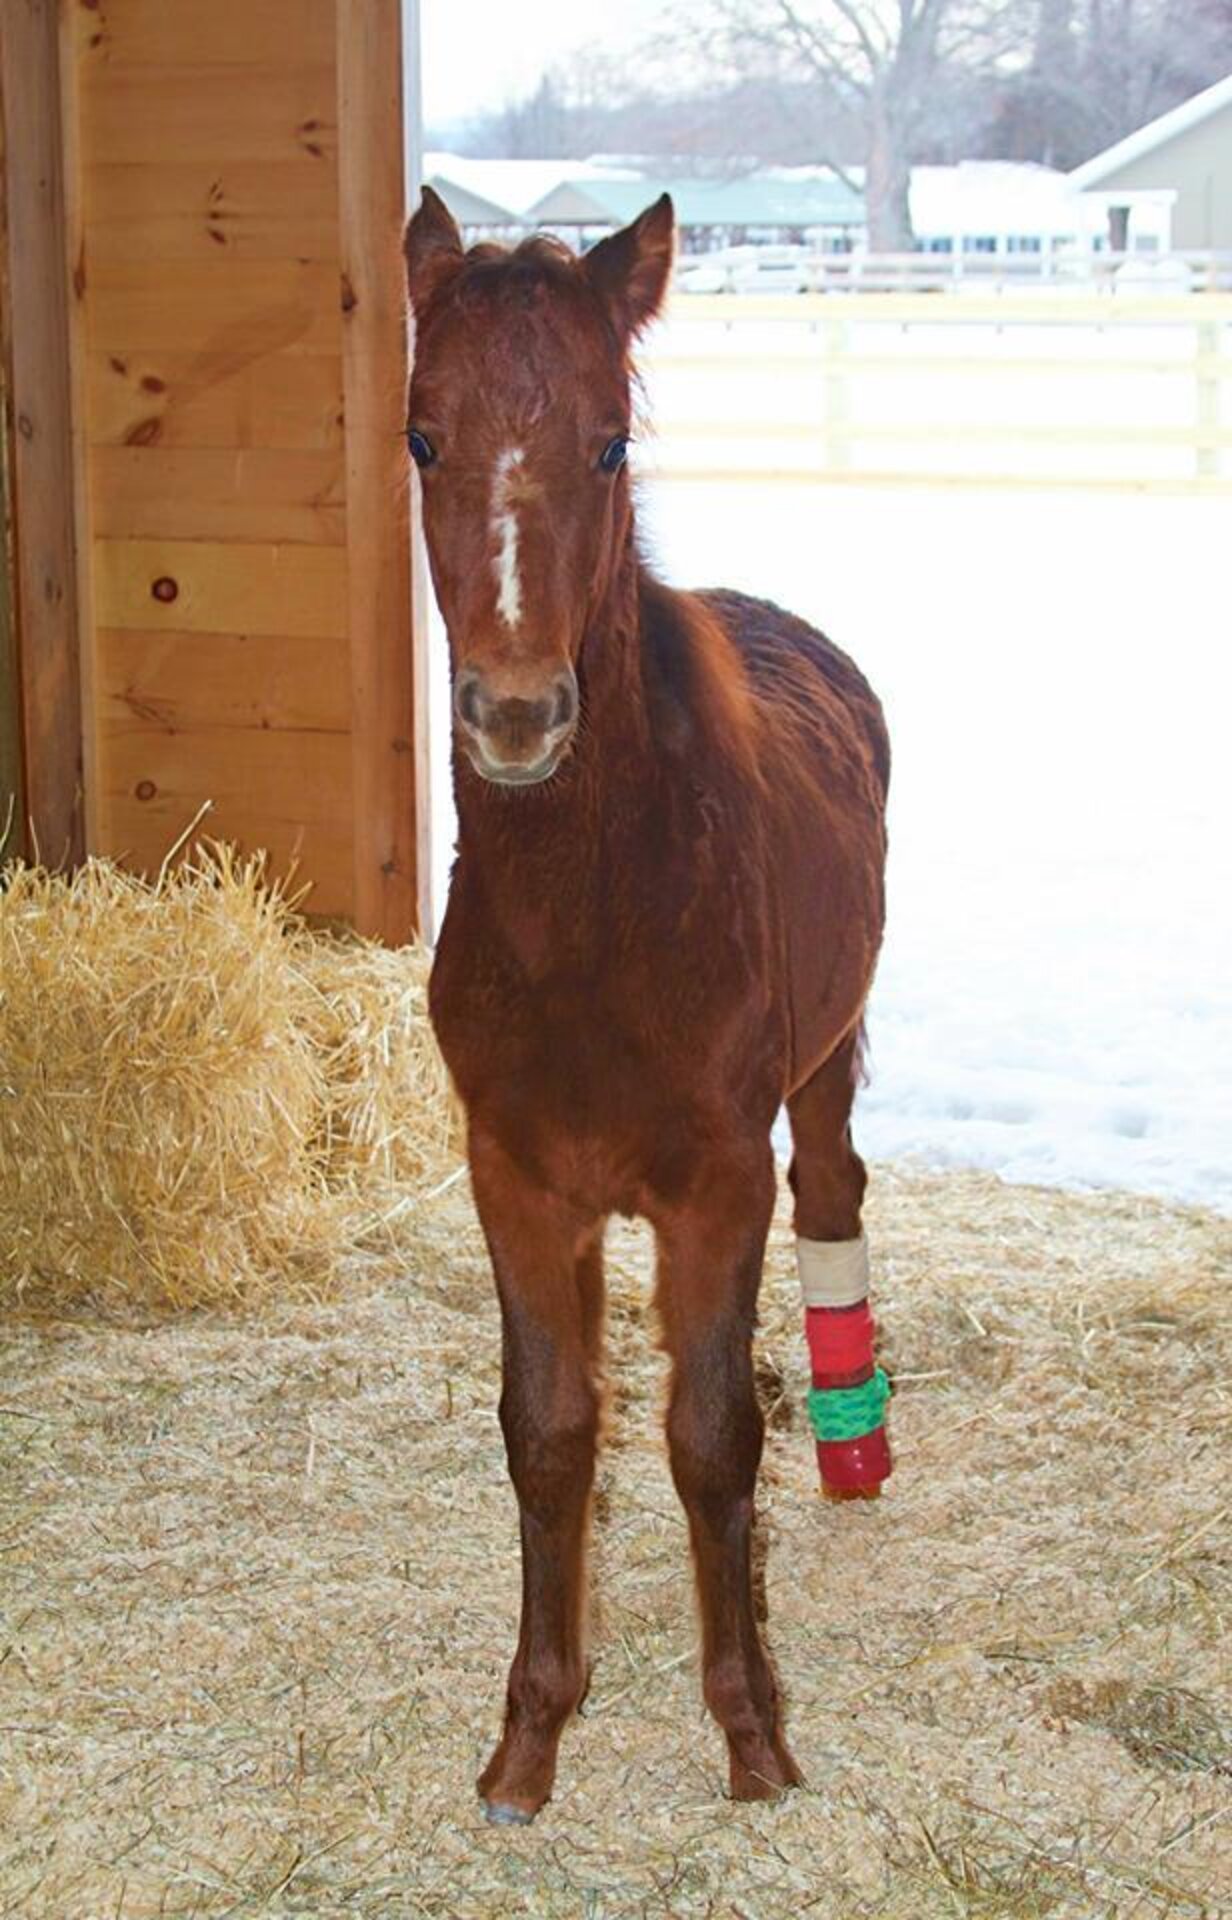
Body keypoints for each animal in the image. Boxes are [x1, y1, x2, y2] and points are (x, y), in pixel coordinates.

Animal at [404, 186, 891, 1825]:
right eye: (421, 437)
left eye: (611, 440)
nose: (514, 715)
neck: (592, 919)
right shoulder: (514, 1175)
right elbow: (554, 1435)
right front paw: (528, 1739)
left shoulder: (714, 1182)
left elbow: (711, 1437)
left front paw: (750, 1733)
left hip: (824, 1071)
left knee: (835, 1196)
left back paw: (859, 1445)